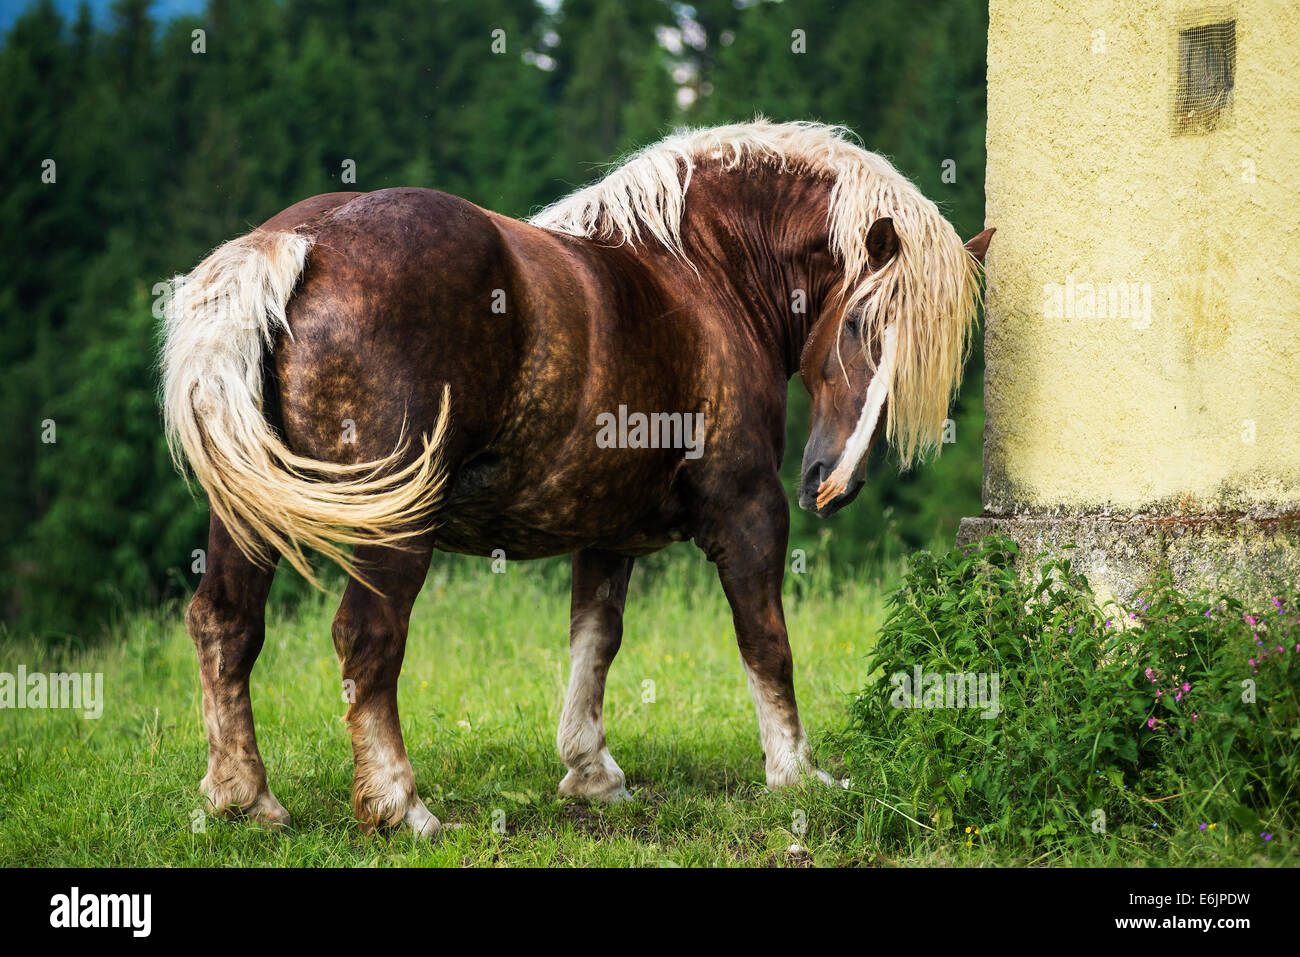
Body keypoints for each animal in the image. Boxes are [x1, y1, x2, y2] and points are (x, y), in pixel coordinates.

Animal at [161, 119, 993, 839]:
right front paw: (796, 771)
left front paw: (591, 770)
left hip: (246, 517)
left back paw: (245, 796)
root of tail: (304, 240)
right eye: (858, 325)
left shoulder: (606, 526)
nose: (832, 484)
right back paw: (404, 807)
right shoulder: (747, 509)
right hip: (394, 525)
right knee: (366, 637)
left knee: (226, 624)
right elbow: (766, 641)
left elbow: (594, 640)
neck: (701, 271)